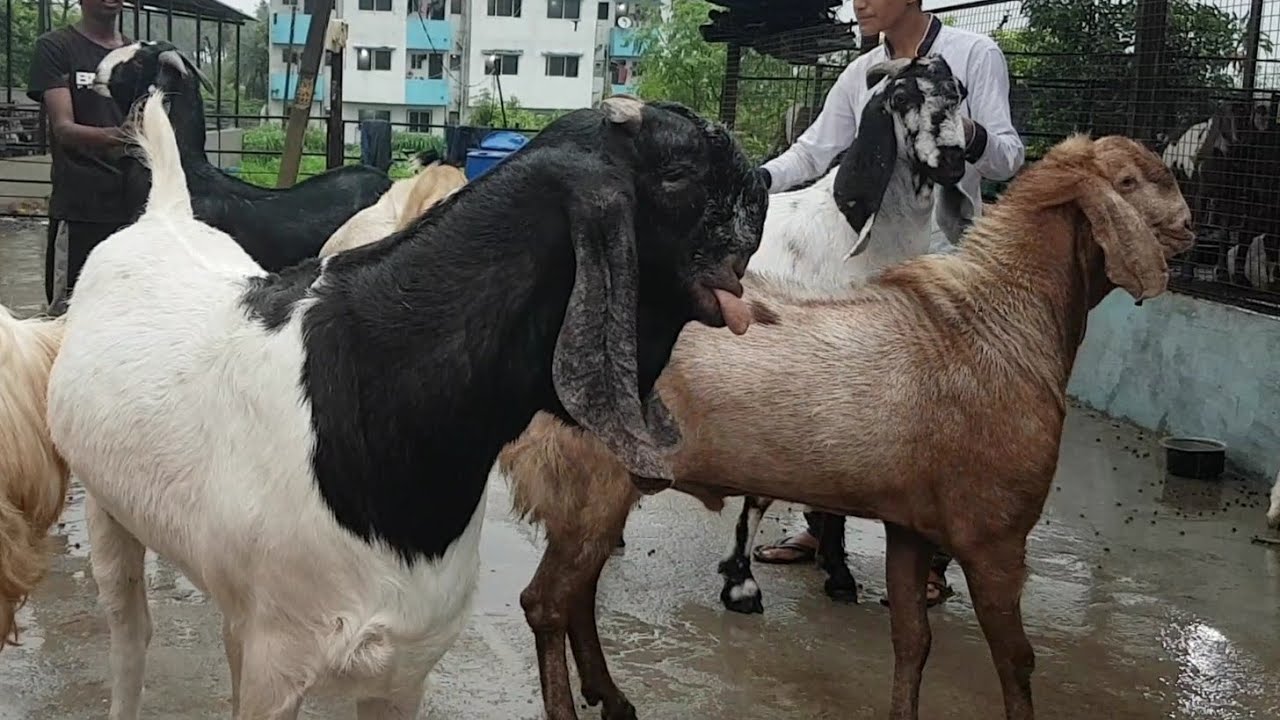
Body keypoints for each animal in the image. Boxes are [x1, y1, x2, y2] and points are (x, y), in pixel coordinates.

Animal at [497, 133, 1195, 720]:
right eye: (1133, 180)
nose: (1190, 226)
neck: (1007, 320)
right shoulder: (995, 535)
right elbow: (1017, 661)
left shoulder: (912, 526)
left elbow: (911, 640)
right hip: (590, 479)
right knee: (546, 603)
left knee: (577, 595)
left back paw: (613, 698)